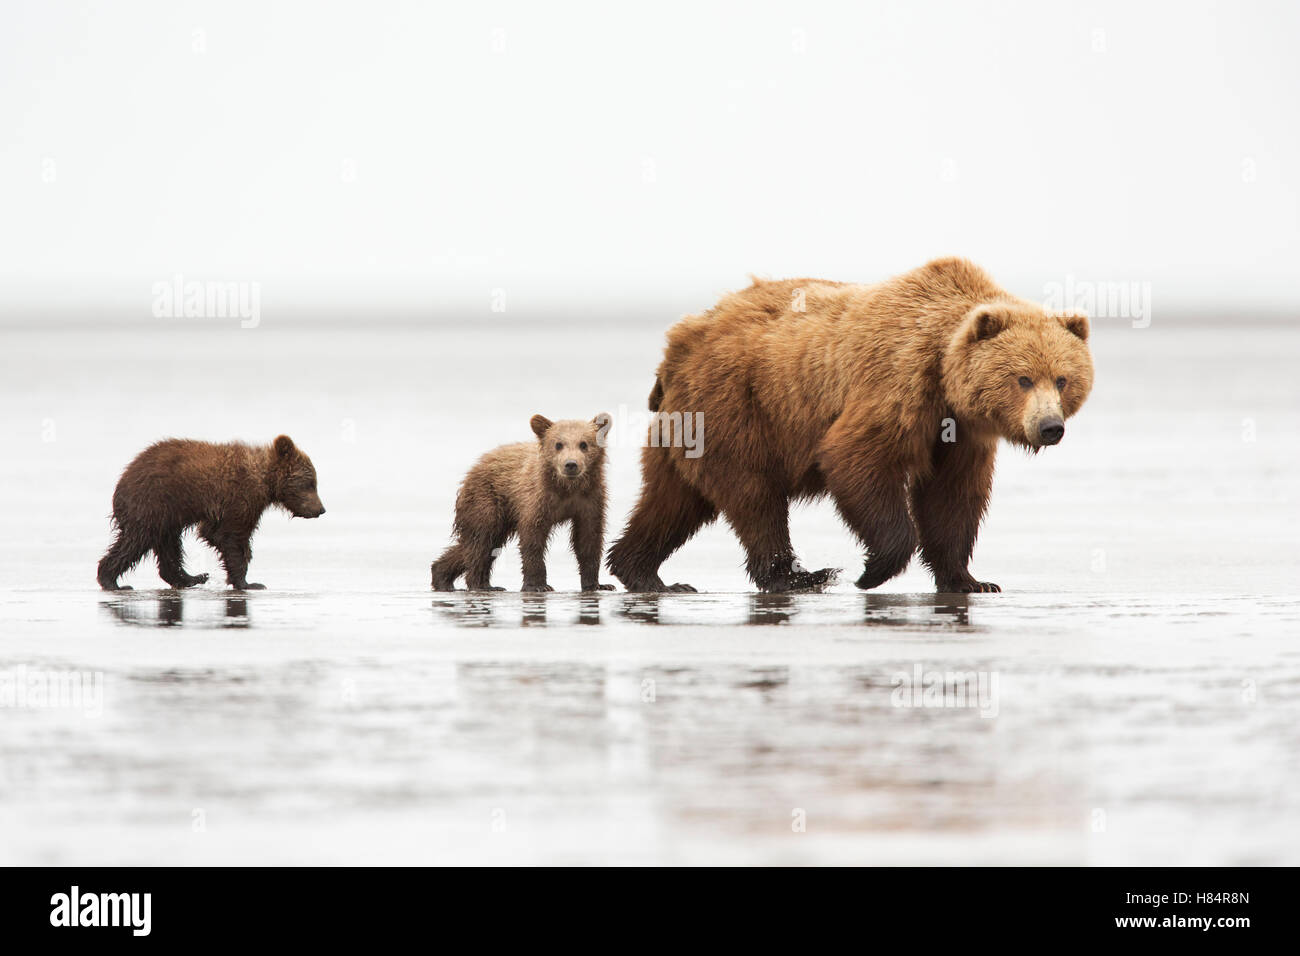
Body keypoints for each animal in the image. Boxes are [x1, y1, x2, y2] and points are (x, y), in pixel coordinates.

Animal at [97, 435, 325, 591]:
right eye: (310, 483)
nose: (321, 509)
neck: (264, 480)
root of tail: (123, 478)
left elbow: (215, 533)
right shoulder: (239, 499)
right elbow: (230, 537)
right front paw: (248, 582)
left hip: (169, 513)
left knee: (169, 546)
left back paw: (192, 577)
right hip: (152, 503)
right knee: (136, 540)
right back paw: (111, 580)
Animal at [430, 414, 616, 593]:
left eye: (584, 444)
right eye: (558, 444)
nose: (571, 464)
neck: (567, 488)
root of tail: (473, 468)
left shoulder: (590, 500)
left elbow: (588, 537)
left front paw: (598, 584)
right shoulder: (536, 498)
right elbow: (532, 537)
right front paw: (538, 585)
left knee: (479, 544)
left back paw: (443, 576)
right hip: (487, 500)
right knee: (481, 540)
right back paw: (479, 584)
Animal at [605, 257, 1094, 594]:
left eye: (1062, 378)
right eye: (1023, 378)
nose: (1049, 426)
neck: (945, 376)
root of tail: (678, 342)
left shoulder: (962, 434)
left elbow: (953, 497)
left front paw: (971, 580)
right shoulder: (898, 382)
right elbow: (856, 458)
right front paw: (871, 571)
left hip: (685, 426)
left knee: (672, 501)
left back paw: (644, 572)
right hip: (737, 406)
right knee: (754, 497)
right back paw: (799, 575)